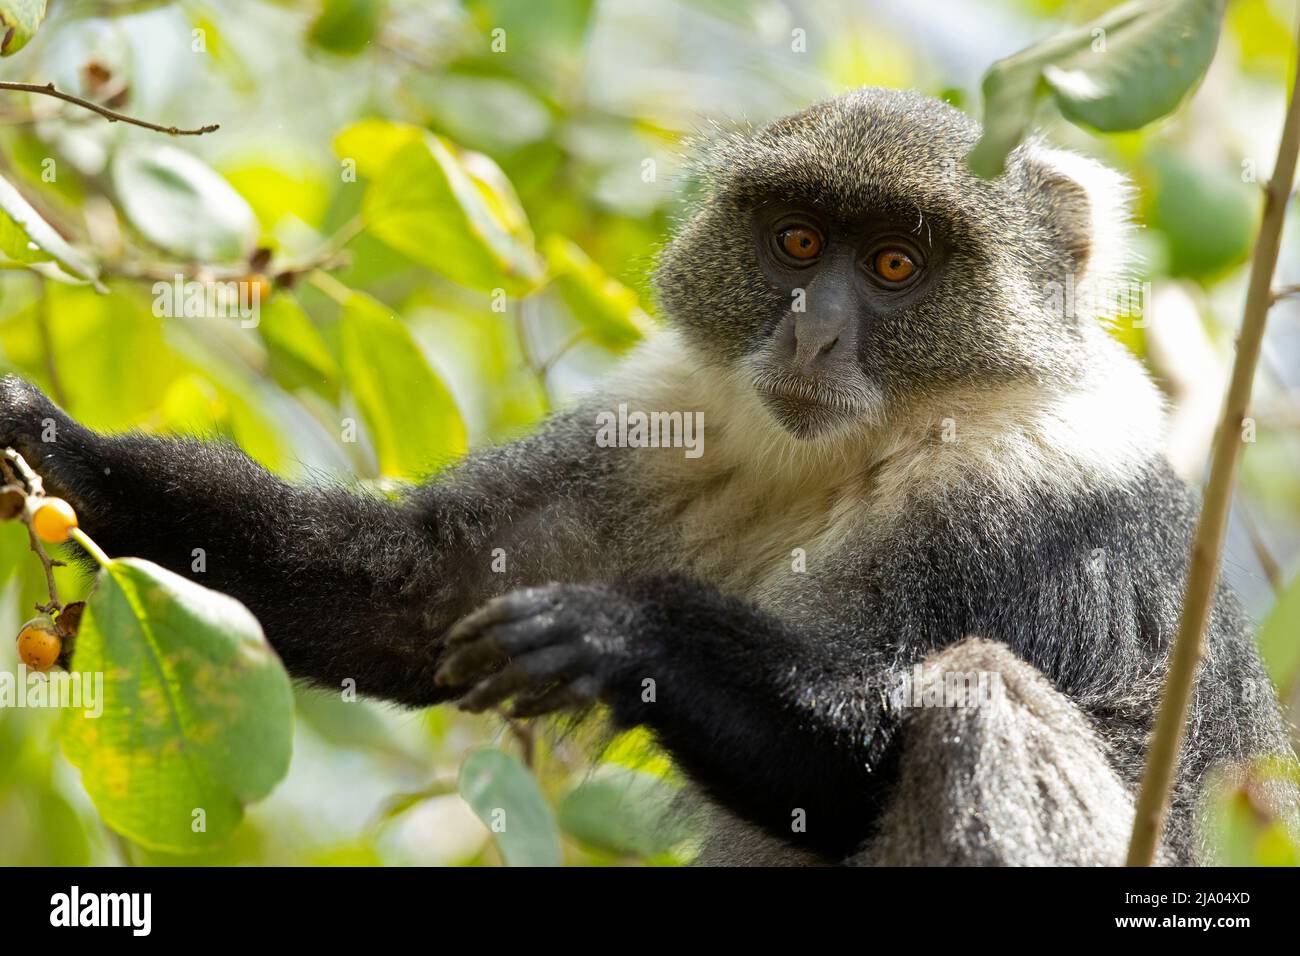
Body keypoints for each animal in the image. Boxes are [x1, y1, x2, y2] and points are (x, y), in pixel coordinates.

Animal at [1, 87, 1294, 866]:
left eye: (894, 264)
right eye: (794, 242)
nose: (813, 335)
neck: (854, 450)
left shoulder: (1032, 491)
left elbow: (855, 761)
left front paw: (625, 636)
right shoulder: (673, 428)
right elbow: (417, 590)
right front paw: (50, 441)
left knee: (980, 698)